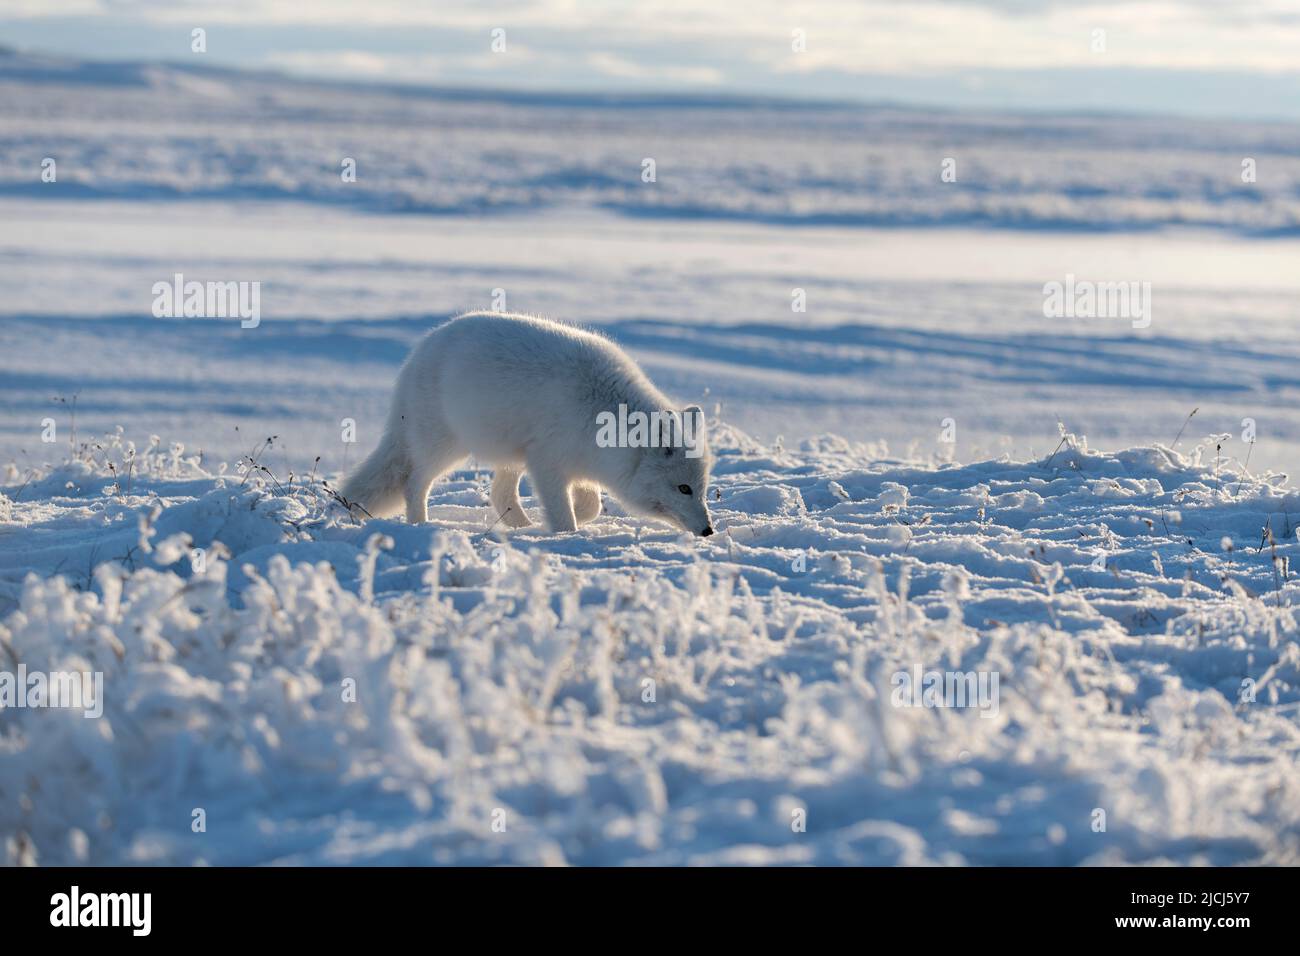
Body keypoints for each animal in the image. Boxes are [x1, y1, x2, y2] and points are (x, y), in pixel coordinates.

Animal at [340, 311, 715, 536]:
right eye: (684, 488)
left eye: (703, 488)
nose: (708, 530)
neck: (603, 410)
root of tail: (419, 352)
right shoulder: (547, 461)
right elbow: (565, 513)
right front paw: (566, 534)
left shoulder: (577, 463)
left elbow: (590, 505)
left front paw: (567, 520)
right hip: (445, 447)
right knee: (414, 483)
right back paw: (421, 524)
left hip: (509, 456)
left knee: (499, 495)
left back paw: (522, 527)